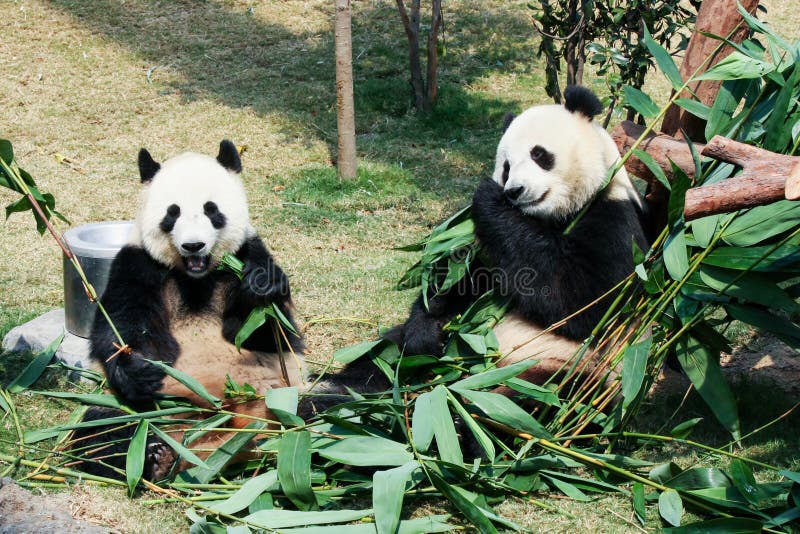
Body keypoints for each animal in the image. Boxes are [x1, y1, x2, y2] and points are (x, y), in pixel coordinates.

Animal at [72, 141, 304, 480]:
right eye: (173, 213)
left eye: (212, 210)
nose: (193, 245)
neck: (196, 277)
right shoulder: (139, 266)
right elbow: (120, 327)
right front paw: (141, 370)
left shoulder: (247, 253)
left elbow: (269, 333)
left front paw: (260, 286)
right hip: (127, 408)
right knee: (101, 430)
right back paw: (155, 458)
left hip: (281, 399)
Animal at [299, 86, 647, 417]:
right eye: (506, 166)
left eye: (539, 154)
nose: (515, 191)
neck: (549, 217)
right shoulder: (485, 245)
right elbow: (457, 283)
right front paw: (428, 330)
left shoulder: (614, 219)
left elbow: (581, 300)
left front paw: (489, 197)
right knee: (384, 356)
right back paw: (334, 396)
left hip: (567, 369)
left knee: (538, 400)